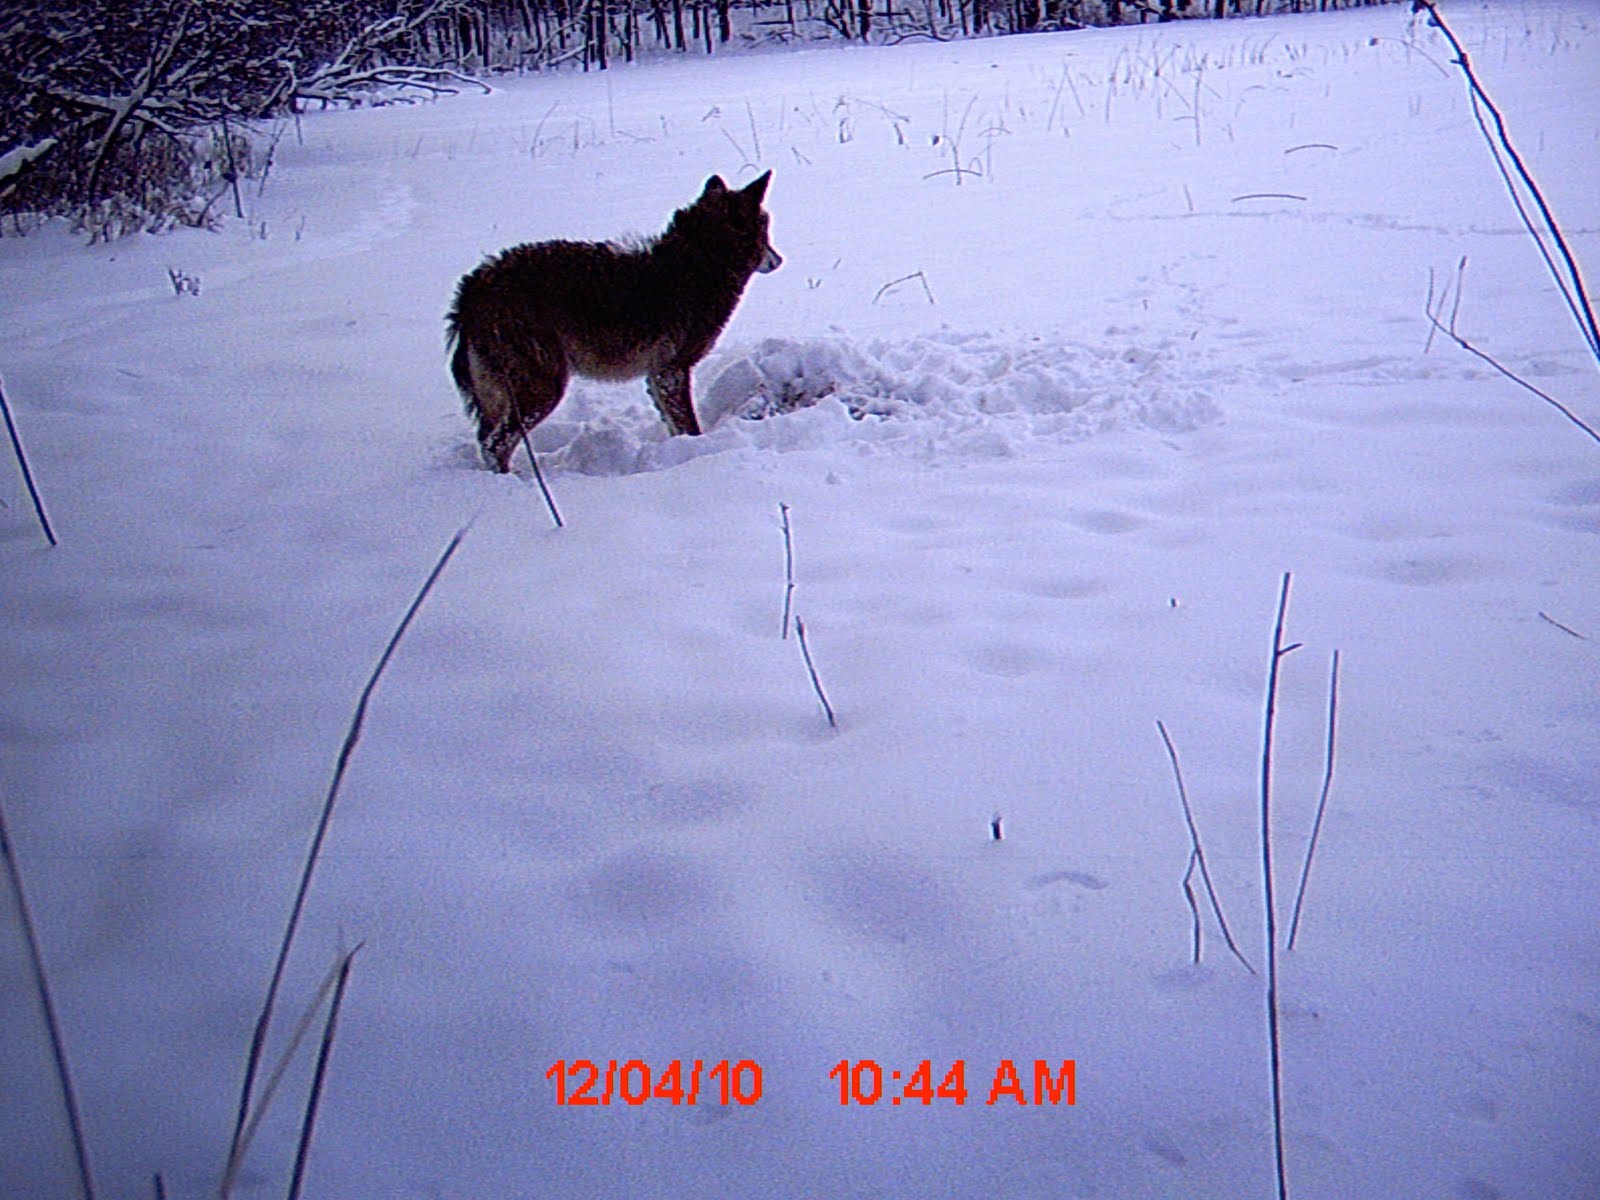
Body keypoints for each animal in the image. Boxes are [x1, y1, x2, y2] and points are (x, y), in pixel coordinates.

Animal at [446, 171, 782, 472]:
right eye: (765, 233)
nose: (779, 260)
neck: (701, 261)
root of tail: (472, 289)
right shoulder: (672, 371)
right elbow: (689, 426)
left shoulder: (657, 376)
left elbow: (674, 426)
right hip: (543, 391)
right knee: (496, 445)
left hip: (499, 397)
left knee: (486, 440)